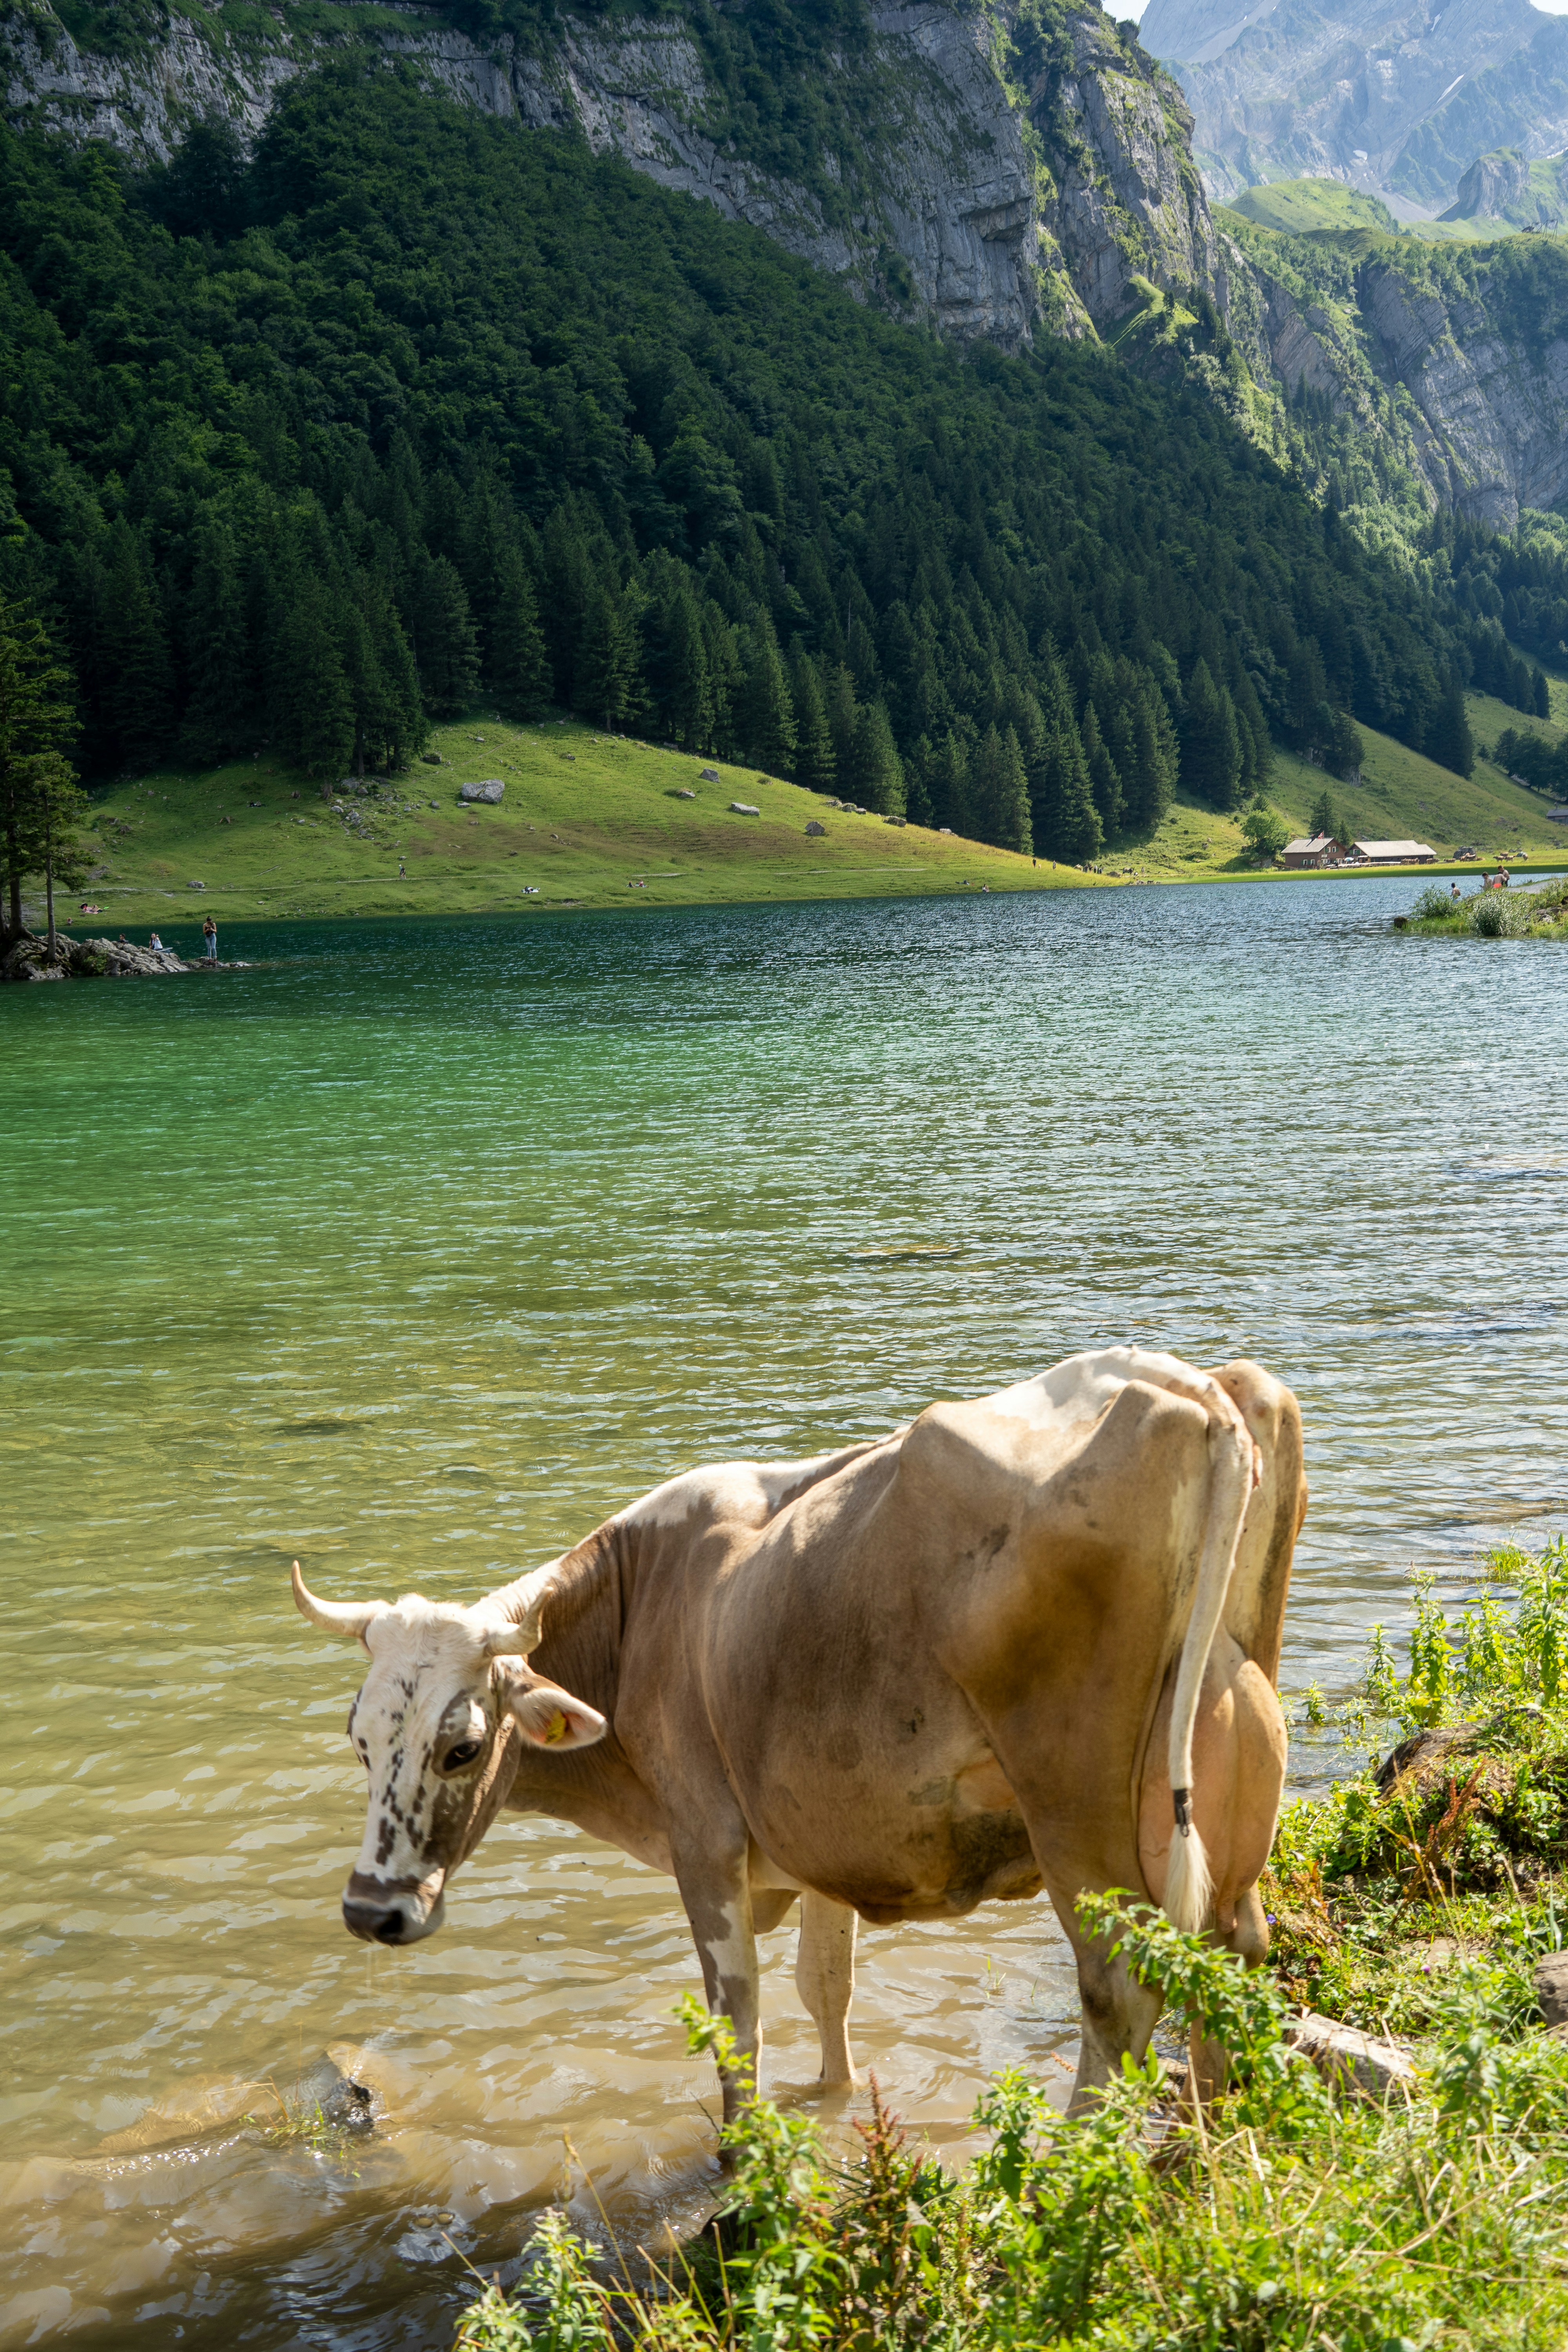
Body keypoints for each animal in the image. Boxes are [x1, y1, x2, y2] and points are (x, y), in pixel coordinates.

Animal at [290, 1347, 1304, 2118]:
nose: (370, 1912)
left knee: (1116, 1985)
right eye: (359, 1741)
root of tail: (1184, 1382)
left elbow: (735, 2015)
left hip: (1076, 1817)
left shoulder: (704, 1841)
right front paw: (831, 2095)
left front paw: (744, 2158)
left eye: (460, 1746)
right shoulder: (821, 1835)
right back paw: (1211, 2135)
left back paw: (1080, 2161)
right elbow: (825, 1985)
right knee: (1235, 1946)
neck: (645, 1604)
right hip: (1227, 1785)